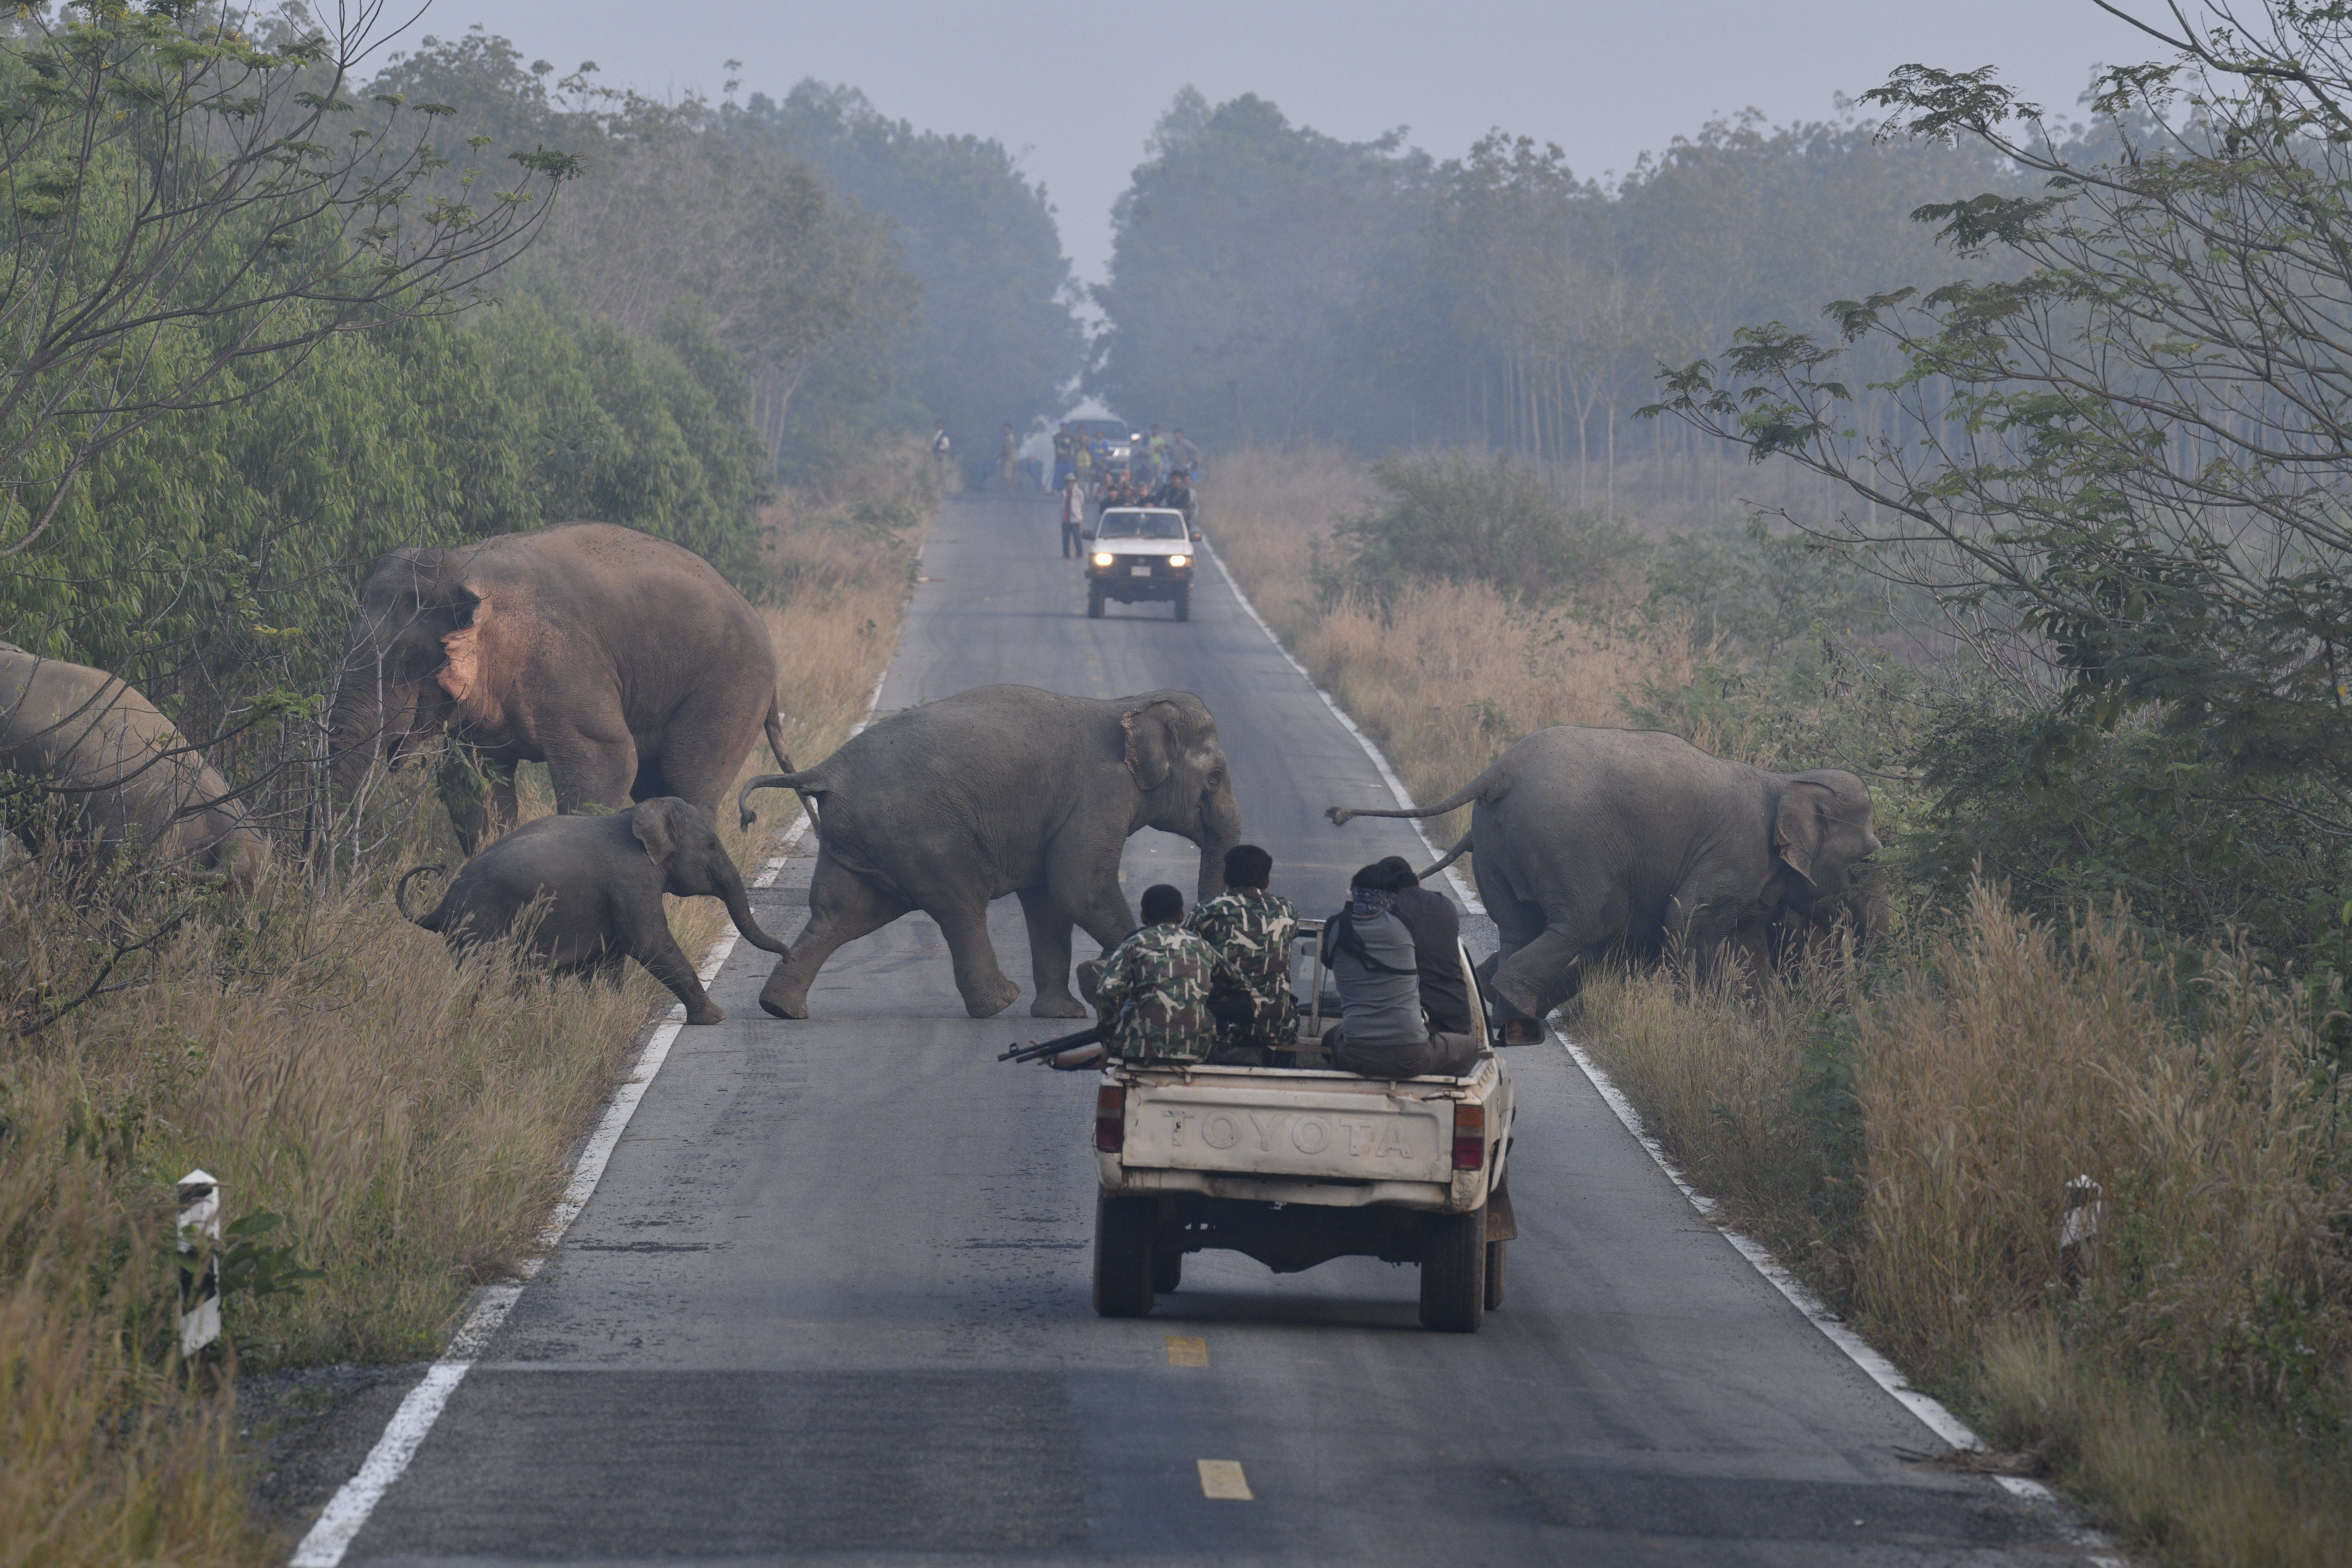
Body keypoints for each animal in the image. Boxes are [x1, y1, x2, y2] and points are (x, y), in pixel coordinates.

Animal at [330, 523, 789, 854]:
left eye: (410, 659)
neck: (465, 564)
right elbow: (475, 784)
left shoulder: (564, 661)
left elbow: (609, 760)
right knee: (654, 783)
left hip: (733, 686)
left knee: (685, 776)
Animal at [396, 796, 788, 1025]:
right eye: (711, 845)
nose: (787, 953)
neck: (637, 813)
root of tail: (441, 905)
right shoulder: (631, 880)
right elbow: (649, 943)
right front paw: (715, 1018)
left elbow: (612, 955)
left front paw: (608, 1011)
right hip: (478, 923)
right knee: (481, 975)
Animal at [735, 685, 1243, 1021]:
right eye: (1215, 777)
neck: (1130, 704)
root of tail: (828, 769)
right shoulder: (1101, 795)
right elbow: (1081, 886)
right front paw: (1100, 982)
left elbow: (1050, 902)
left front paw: (1065, 1011)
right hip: (924, 834)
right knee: (959, 907)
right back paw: (1000, 1002)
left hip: (859, 839)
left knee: (841, 915)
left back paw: (781, 1009)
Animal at [1328, 726, 1880, 1019]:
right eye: (1867, 862)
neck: (1787, 780)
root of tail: (1501, 769)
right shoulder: (1732, 856)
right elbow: (1685, 922)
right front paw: (1701, 1016)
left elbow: (1743, 945)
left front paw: (1760, 1021)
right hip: (1567, 840)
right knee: (1590, 920)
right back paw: (1515, 1003)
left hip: (1495, 840)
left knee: (1523, 925)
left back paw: (1500, 1003)